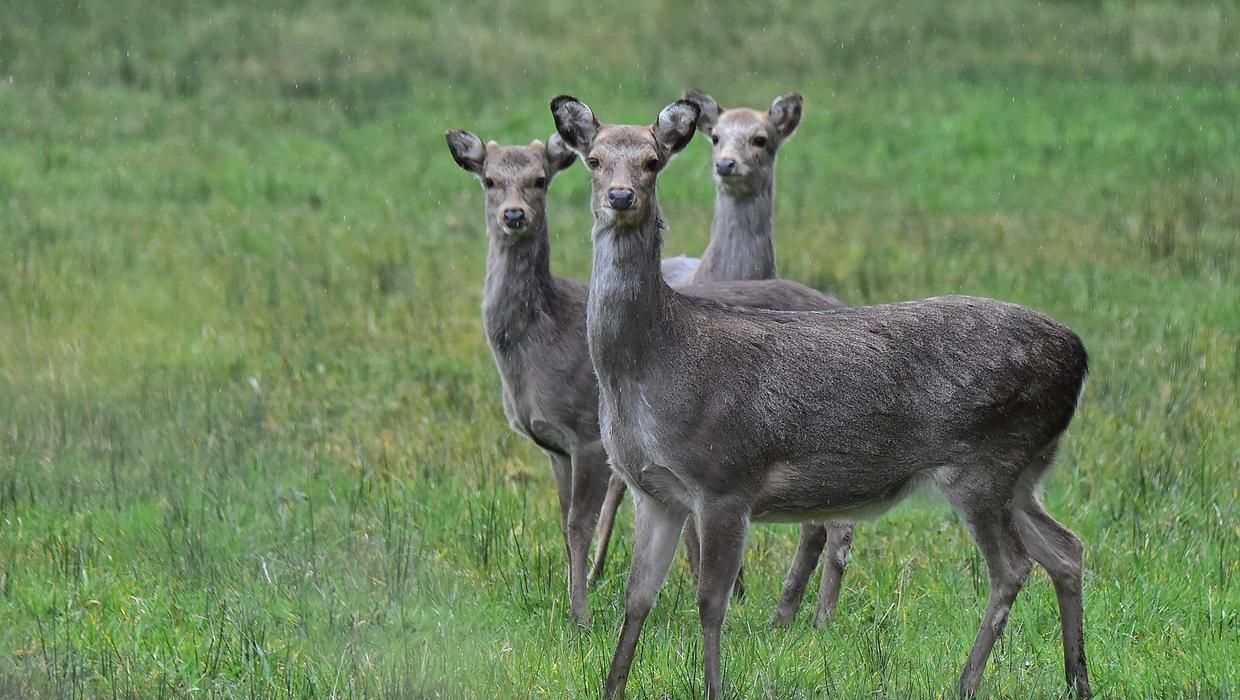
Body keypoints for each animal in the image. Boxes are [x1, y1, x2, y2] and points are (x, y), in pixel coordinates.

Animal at [444, 130, 845, 625]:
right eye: (490, 180)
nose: (514, 215)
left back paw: (817, 617)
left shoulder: (587, 433)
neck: (539, 343)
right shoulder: (554, 447)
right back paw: (789, 615)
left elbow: (580, 523)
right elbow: (564, 519)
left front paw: (580, 615)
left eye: (540, 180)